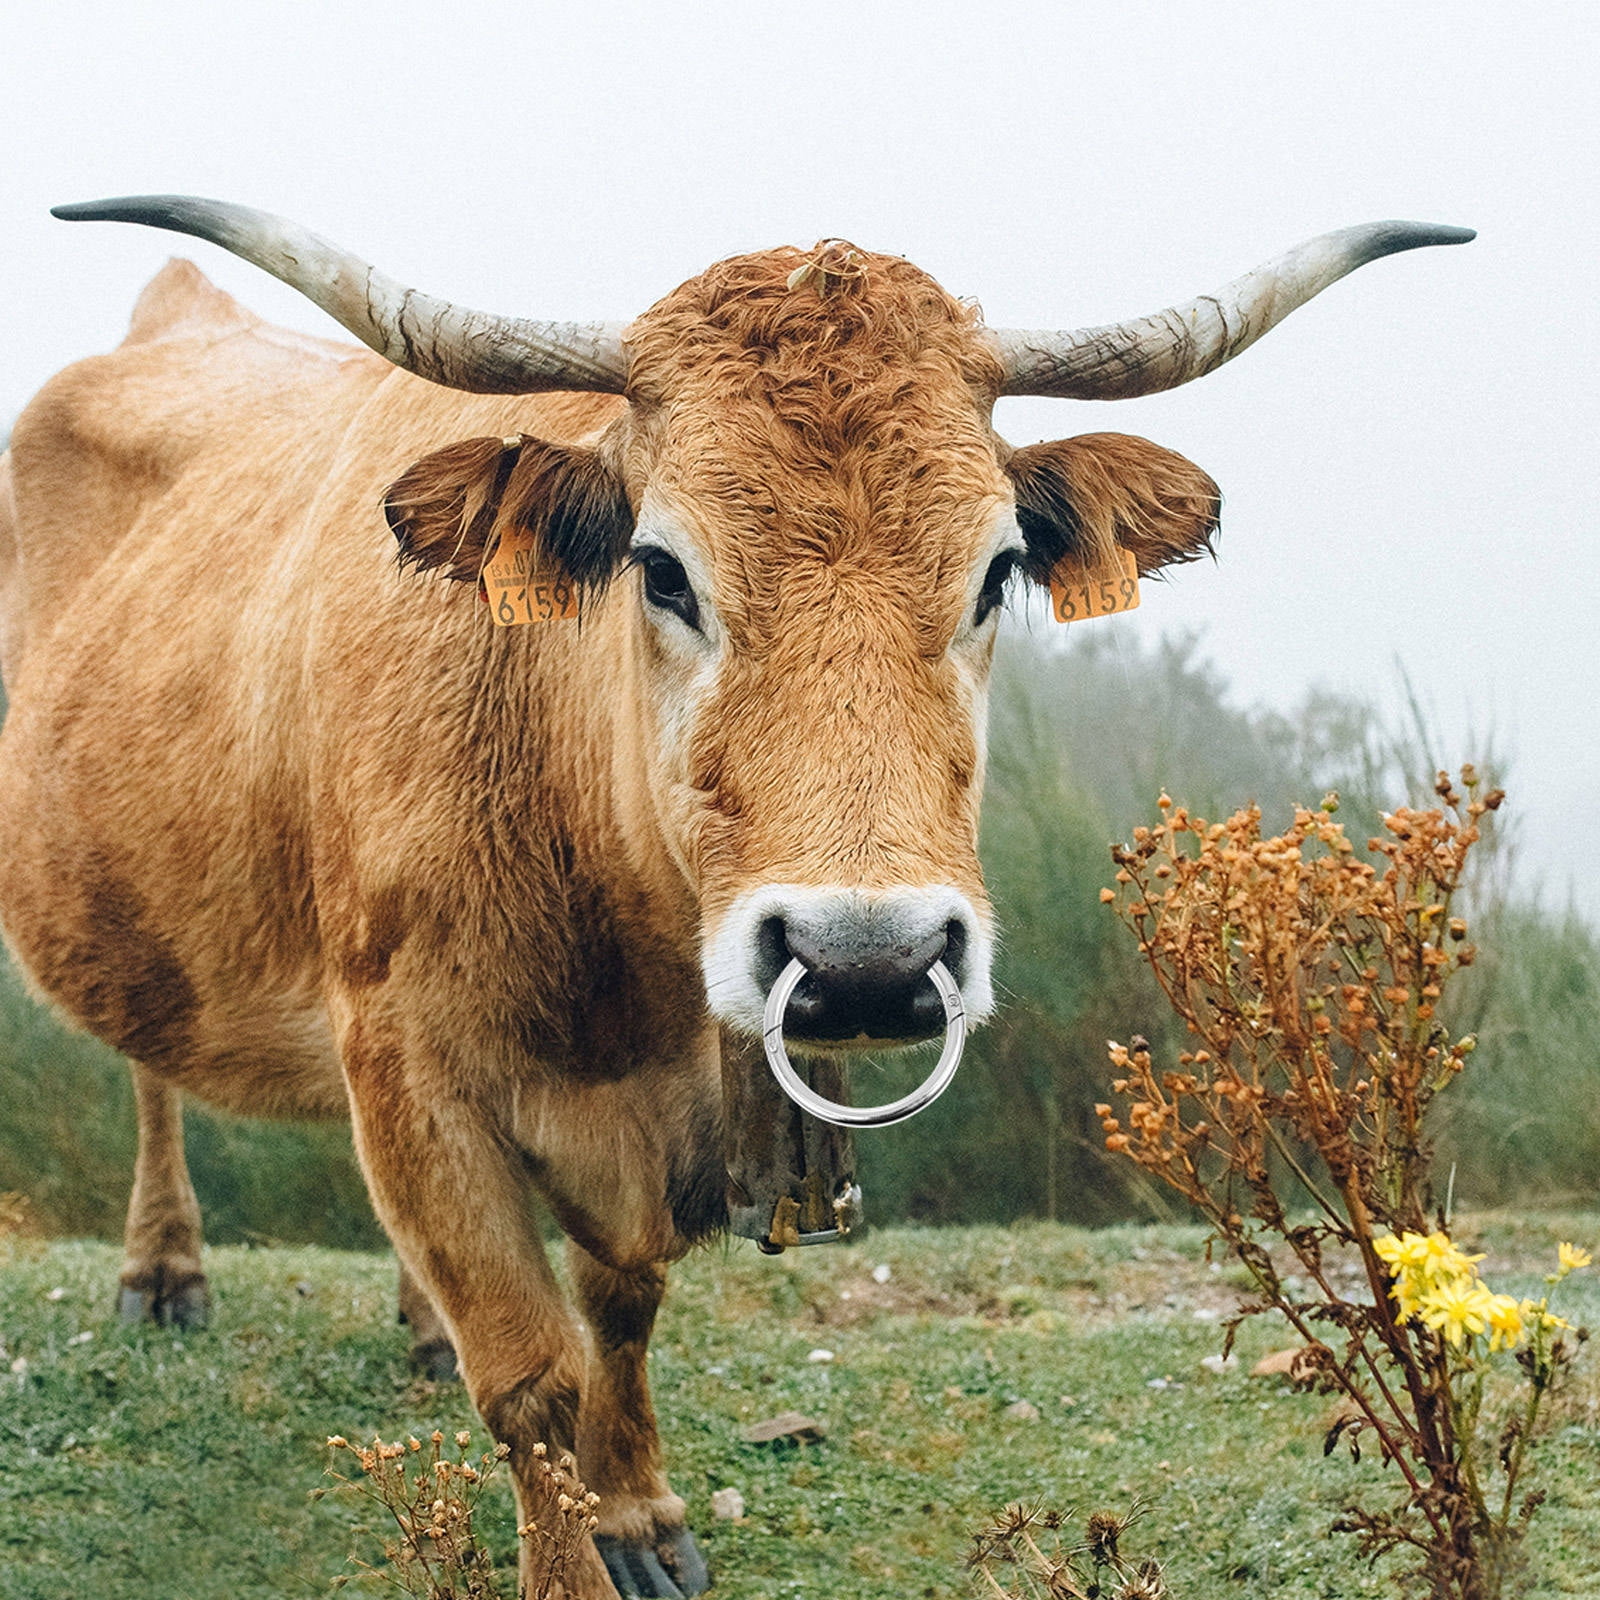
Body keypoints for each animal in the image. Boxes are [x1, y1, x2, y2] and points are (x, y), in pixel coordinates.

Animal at [0, 197, 1470, 1597]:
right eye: (661, 569)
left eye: (997, 570)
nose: (867, 958)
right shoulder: (405, 1067)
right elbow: (530, 1373)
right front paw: (571, 1562)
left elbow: (621, 1307)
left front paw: (639, 1513)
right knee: (150, 1070)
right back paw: (163, 1272)